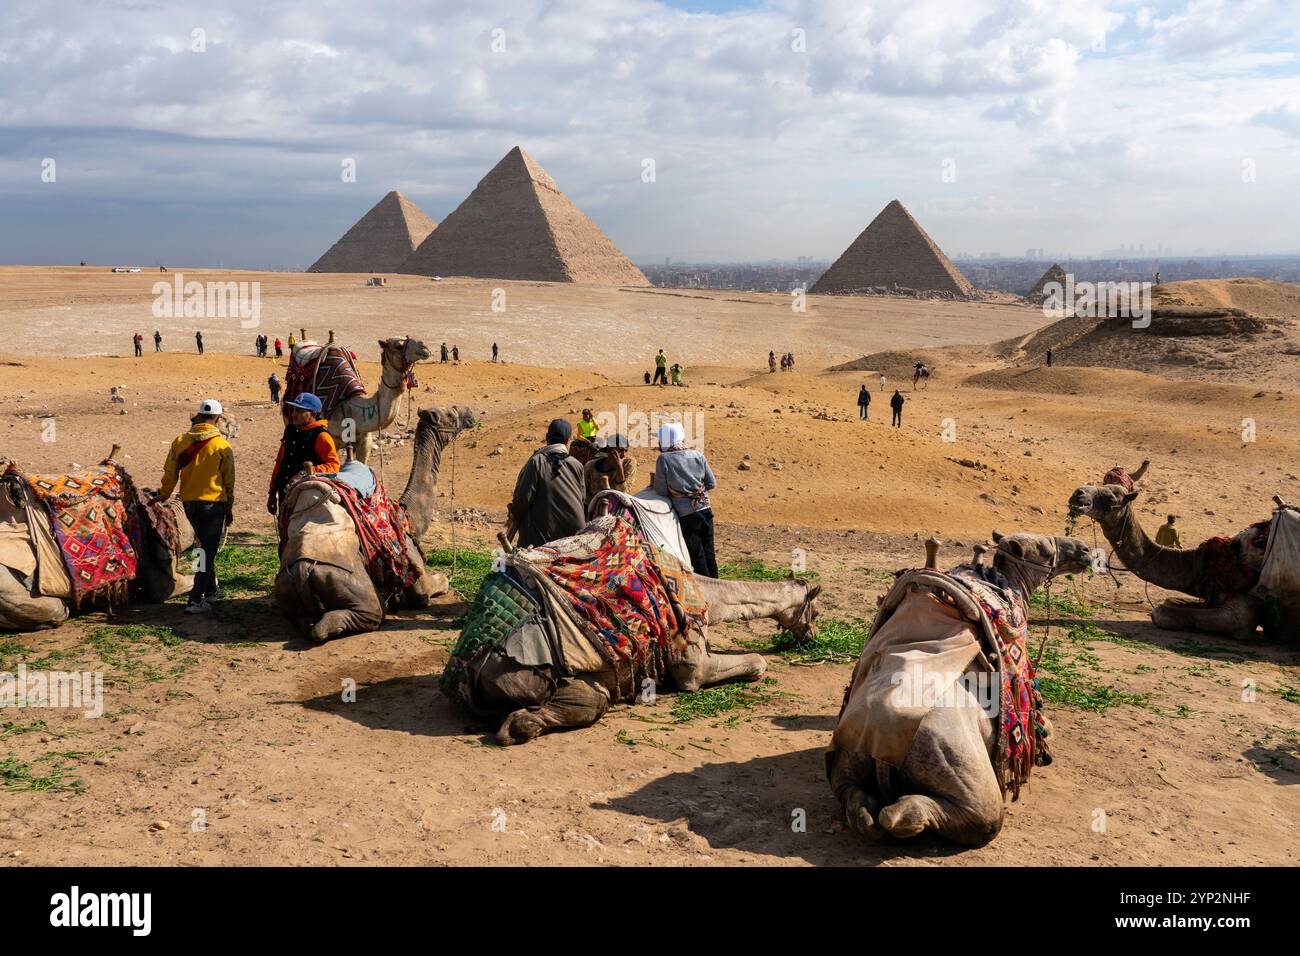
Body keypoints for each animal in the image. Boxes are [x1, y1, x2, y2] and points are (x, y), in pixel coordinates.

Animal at [274, 405, 476, 642]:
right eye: (451, 414)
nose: (469, 414)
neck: (408, 517)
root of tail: (302, 571)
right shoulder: (413, 566)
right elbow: (429, 590)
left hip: (285, 586)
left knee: (301, 619)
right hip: (342, 580)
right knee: (367, 612)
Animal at [456, 547, 822, 746]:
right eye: (816, 610)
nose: (812, 636)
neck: (710, 597)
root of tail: (471, 669)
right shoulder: (693, 666)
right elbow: (757, 662)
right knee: (587, 704)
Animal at [827, 532, 1094, 846]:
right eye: (1042, 547)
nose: (1084, 550)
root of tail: (881, 739)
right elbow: (1042, 728)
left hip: (848, 757)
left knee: (855, 798)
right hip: (959, 767)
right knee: (977, 815)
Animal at [1068, 460, 1292, 640]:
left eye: (1111, 498)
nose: (1078, 494)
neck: (1205, 563)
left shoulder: (1244, 612)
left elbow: (1161, 613)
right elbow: (1168, 603)